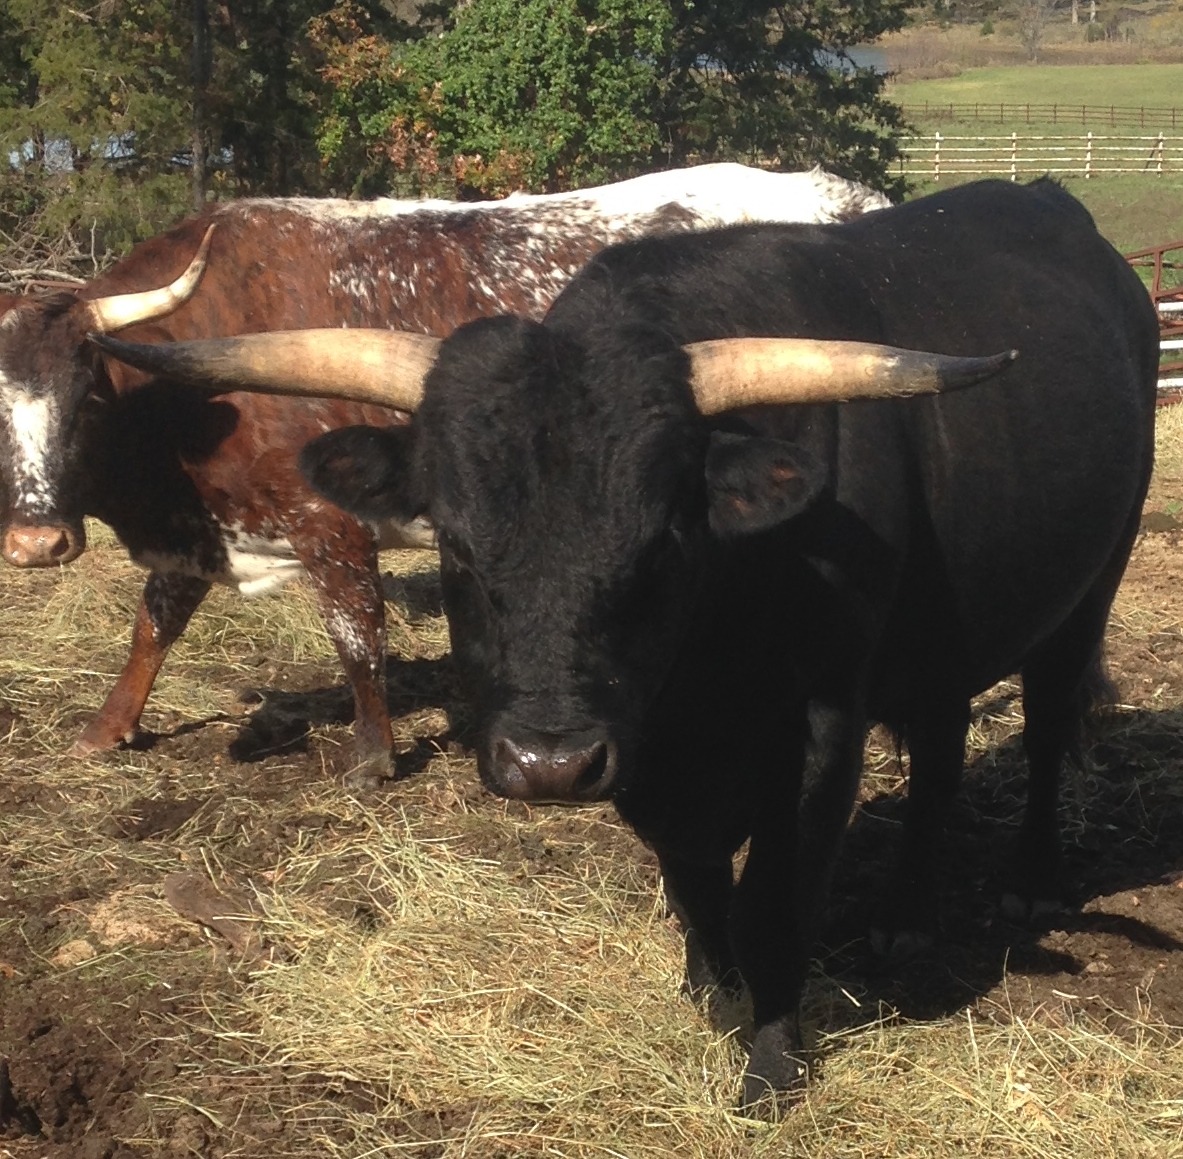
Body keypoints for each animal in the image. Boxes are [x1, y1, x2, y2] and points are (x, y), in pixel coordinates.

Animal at [0, 164, 889, 782]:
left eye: (86, 398)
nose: (37, 542)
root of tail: (840, 194)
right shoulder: (204, 525)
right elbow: (153, 625)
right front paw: (106, 728)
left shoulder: (328, 523)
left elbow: (358, 639)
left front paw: (371, 759)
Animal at [93, 178, 1158, 1108]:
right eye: (454, 539)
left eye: (665, 538)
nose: (548, 762)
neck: (703, 682)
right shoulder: (645, 747)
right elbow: (690, 876)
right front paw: (710, 990)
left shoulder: (820, 727)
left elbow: (772, 895)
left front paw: (771, 1059)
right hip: (945, 631)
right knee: (939, 754)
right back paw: (901, 916)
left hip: (1088, 587)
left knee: (1046, 724)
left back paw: (1026, 881)